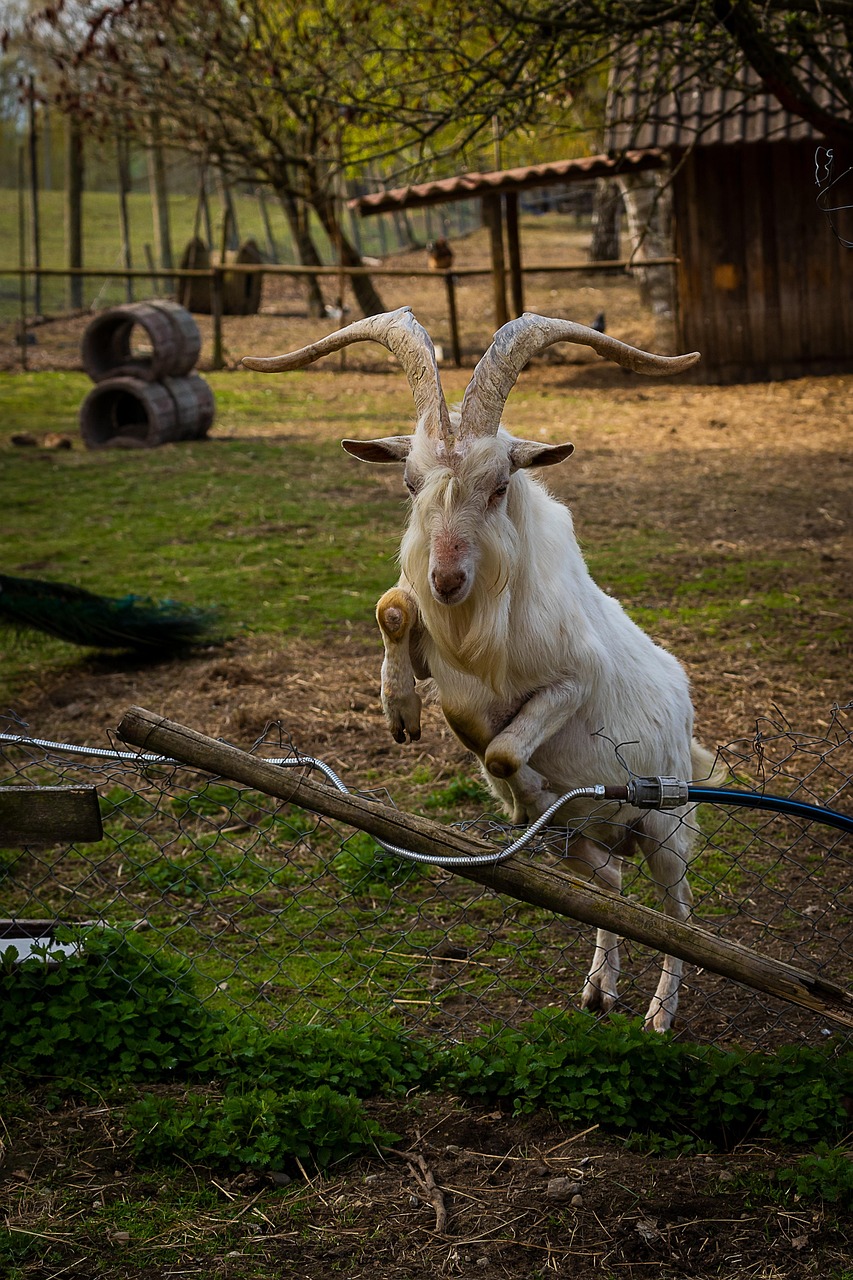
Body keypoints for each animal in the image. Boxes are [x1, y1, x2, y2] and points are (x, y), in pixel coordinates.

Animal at [242, 307, 719, 1031]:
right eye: (410, 482)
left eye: (498, 487)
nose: (446, 580)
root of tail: (683, 699)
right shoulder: (441, 653)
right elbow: (391, 610)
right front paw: (400, 711)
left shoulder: (570, 682)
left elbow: (500, 750)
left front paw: (528, 794)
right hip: (586, 839)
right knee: (611, 890)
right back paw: (599, 989)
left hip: (663, 819)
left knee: (678, 913)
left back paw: (660, 1014)